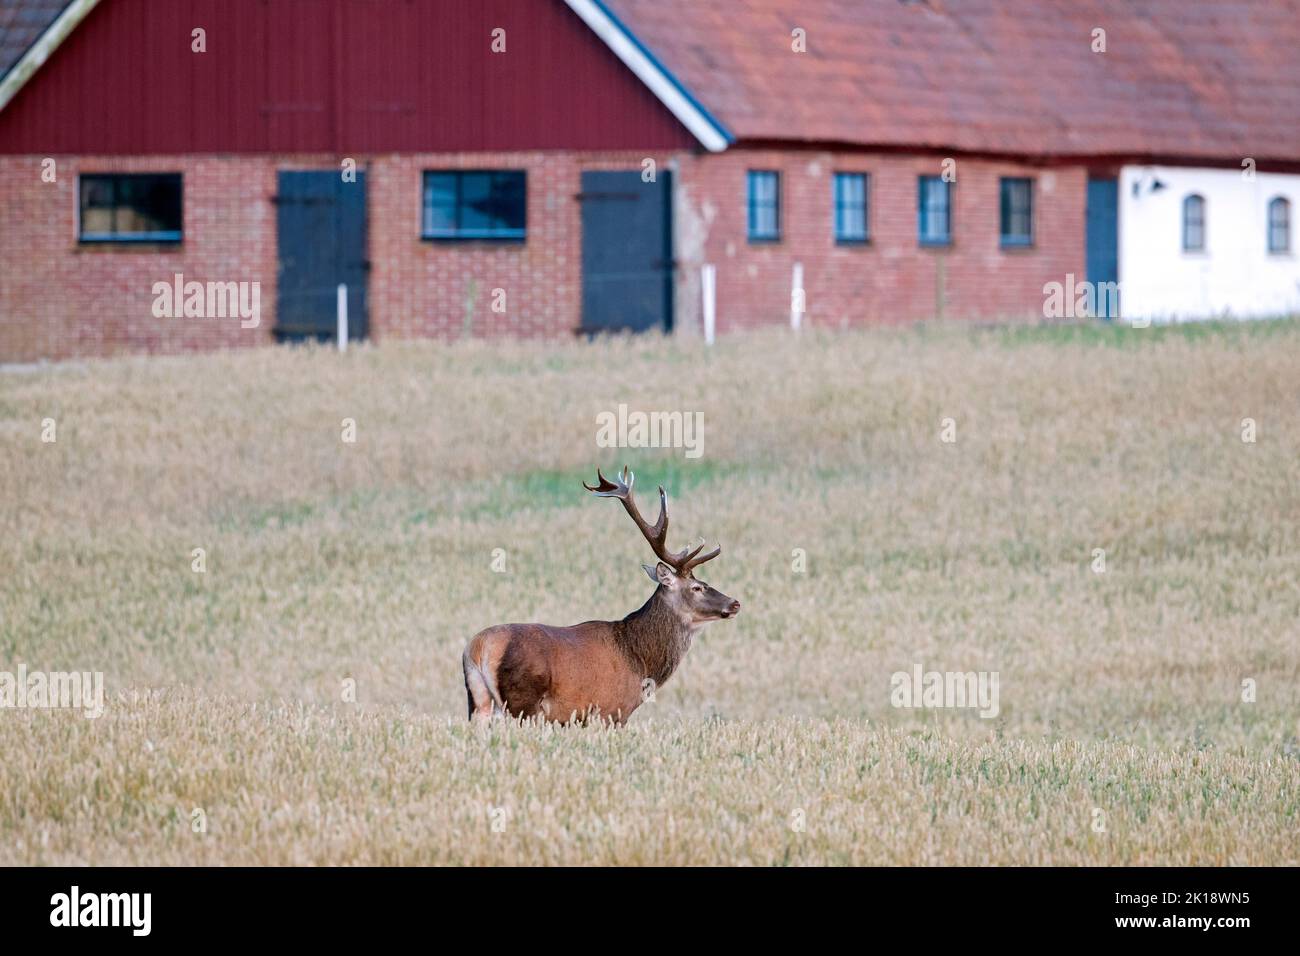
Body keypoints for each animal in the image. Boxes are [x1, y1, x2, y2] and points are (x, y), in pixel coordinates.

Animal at [462, 466, 740, 725]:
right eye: (697, 587)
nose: (735, 603)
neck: (639, 659)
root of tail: (479, 649)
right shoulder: (613, 710)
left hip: (478, 700)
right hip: (521, 702)